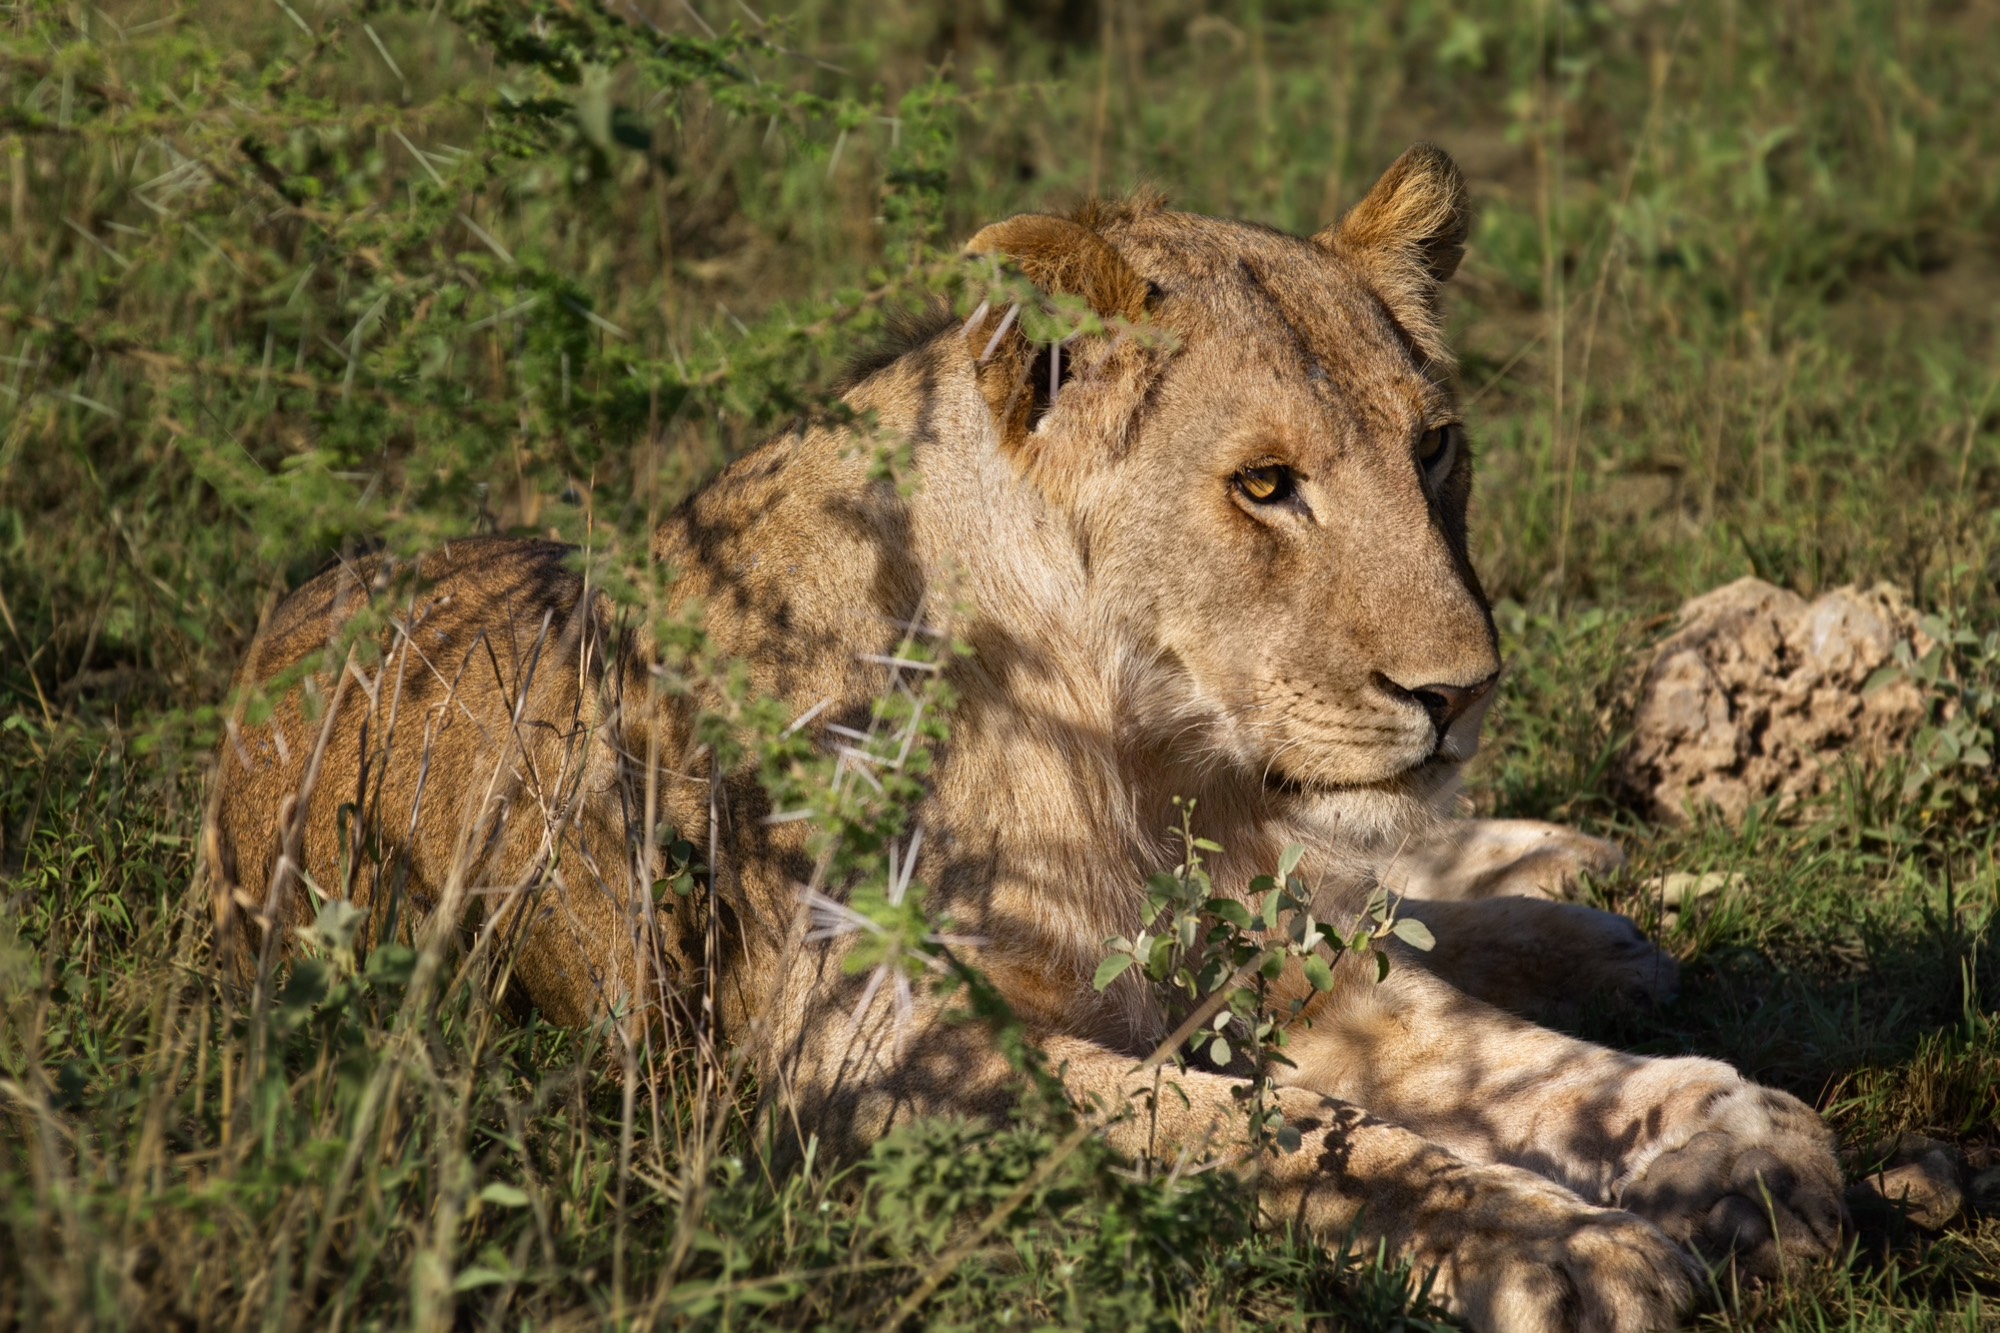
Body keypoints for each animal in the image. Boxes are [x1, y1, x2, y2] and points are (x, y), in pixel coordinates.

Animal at [207, 148, 1840, 1328]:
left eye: (1432, 445)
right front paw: (1549, 1240)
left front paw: (1734, 1145)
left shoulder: (1257, 954)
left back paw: (1582, 905)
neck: (1143, 762)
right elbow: (1258, 1135)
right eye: (1264, 487)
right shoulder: (868, 1057)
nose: (1460, 691)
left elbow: (1494, 1060)